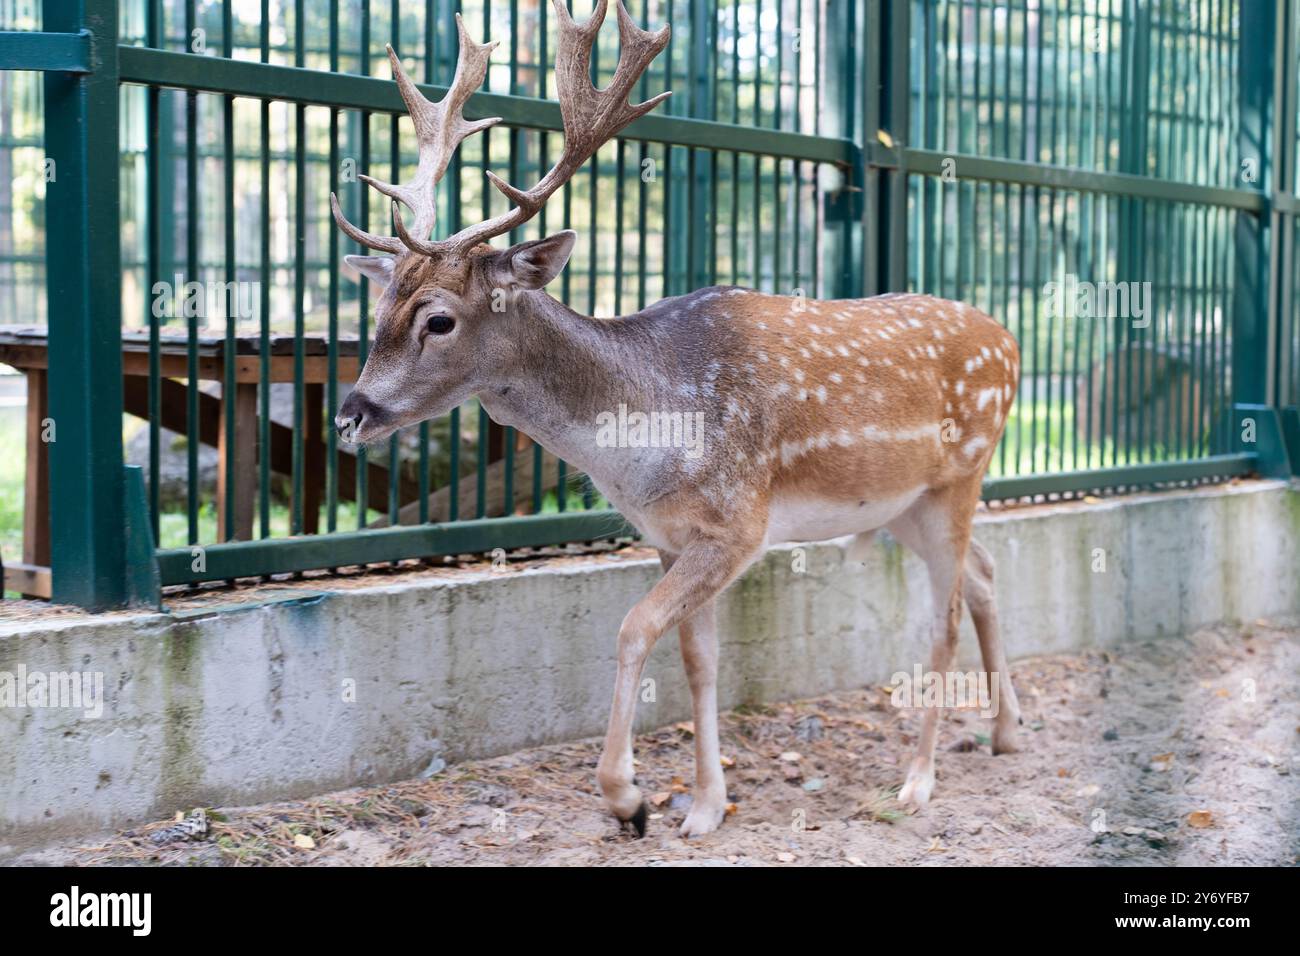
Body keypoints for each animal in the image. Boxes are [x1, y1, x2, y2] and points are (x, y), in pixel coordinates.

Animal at [331, 0, 1023, 839]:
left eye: (438, 319)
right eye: (378, 307)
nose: (350, 415)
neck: (642, 444)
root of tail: (1010, 339)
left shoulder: (738, 524)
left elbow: (633, 629)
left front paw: (628, 798)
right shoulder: (668, 535)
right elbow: (699, 660)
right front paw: (704, 805)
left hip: (963, 473)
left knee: (946, 611)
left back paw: (917, 781)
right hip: (905, 504)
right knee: (984, 573)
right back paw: (1006, 732)